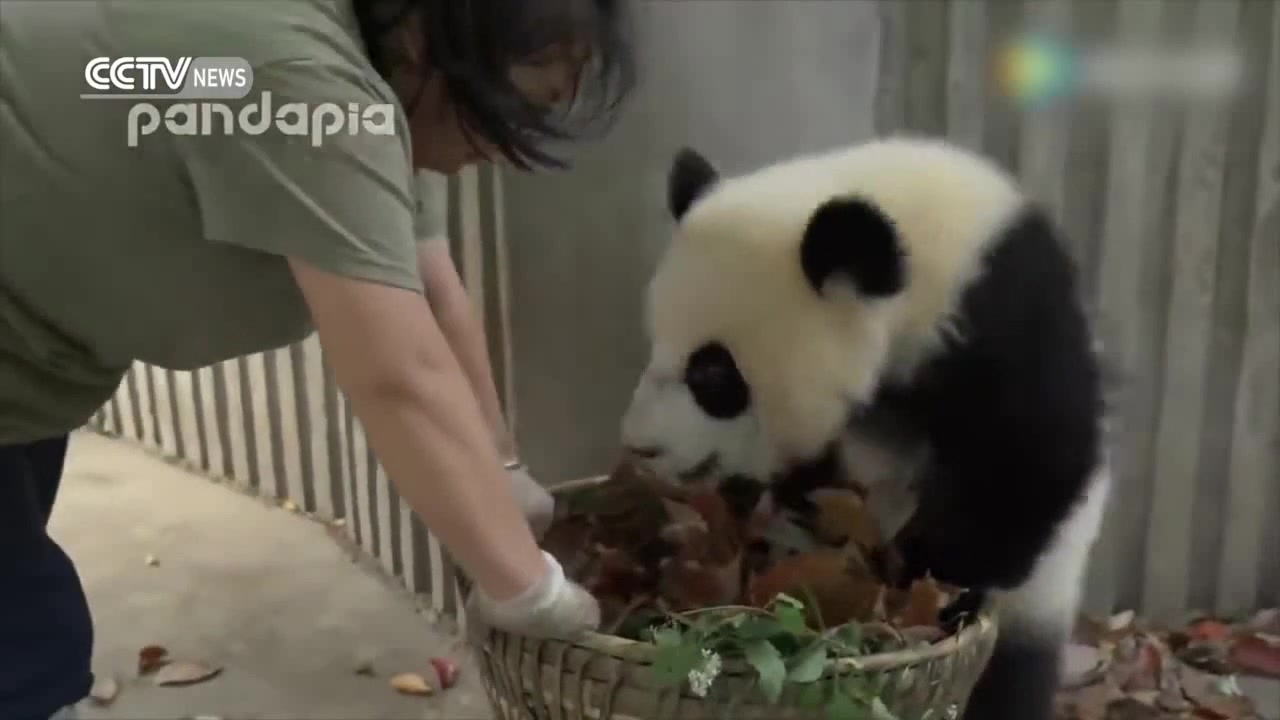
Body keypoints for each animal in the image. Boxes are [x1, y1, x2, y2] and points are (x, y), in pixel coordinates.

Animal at [620, 135, 1113, 720]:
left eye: (713, 374)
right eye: (655, 343)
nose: (640, 446)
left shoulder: (1005, 324)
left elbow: (1031, 467)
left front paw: (928, 584)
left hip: (1040, 597)